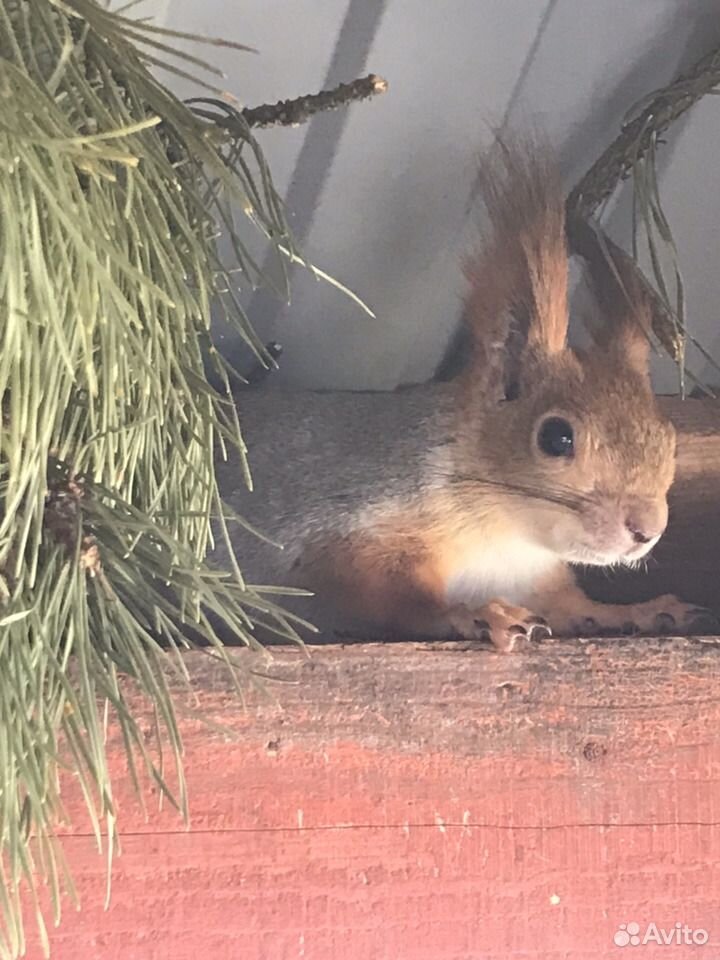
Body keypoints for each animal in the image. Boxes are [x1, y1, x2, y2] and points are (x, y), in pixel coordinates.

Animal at [214, 137, 709, 652]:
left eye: (669, 441)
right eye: (556, 437)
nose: (646, 529)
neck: (510, 538)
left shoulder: (535, 579)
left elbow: (575, 608)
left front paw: (640, 611)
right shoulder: (347, 529)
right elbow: (394, 597)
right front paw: (474, 613)